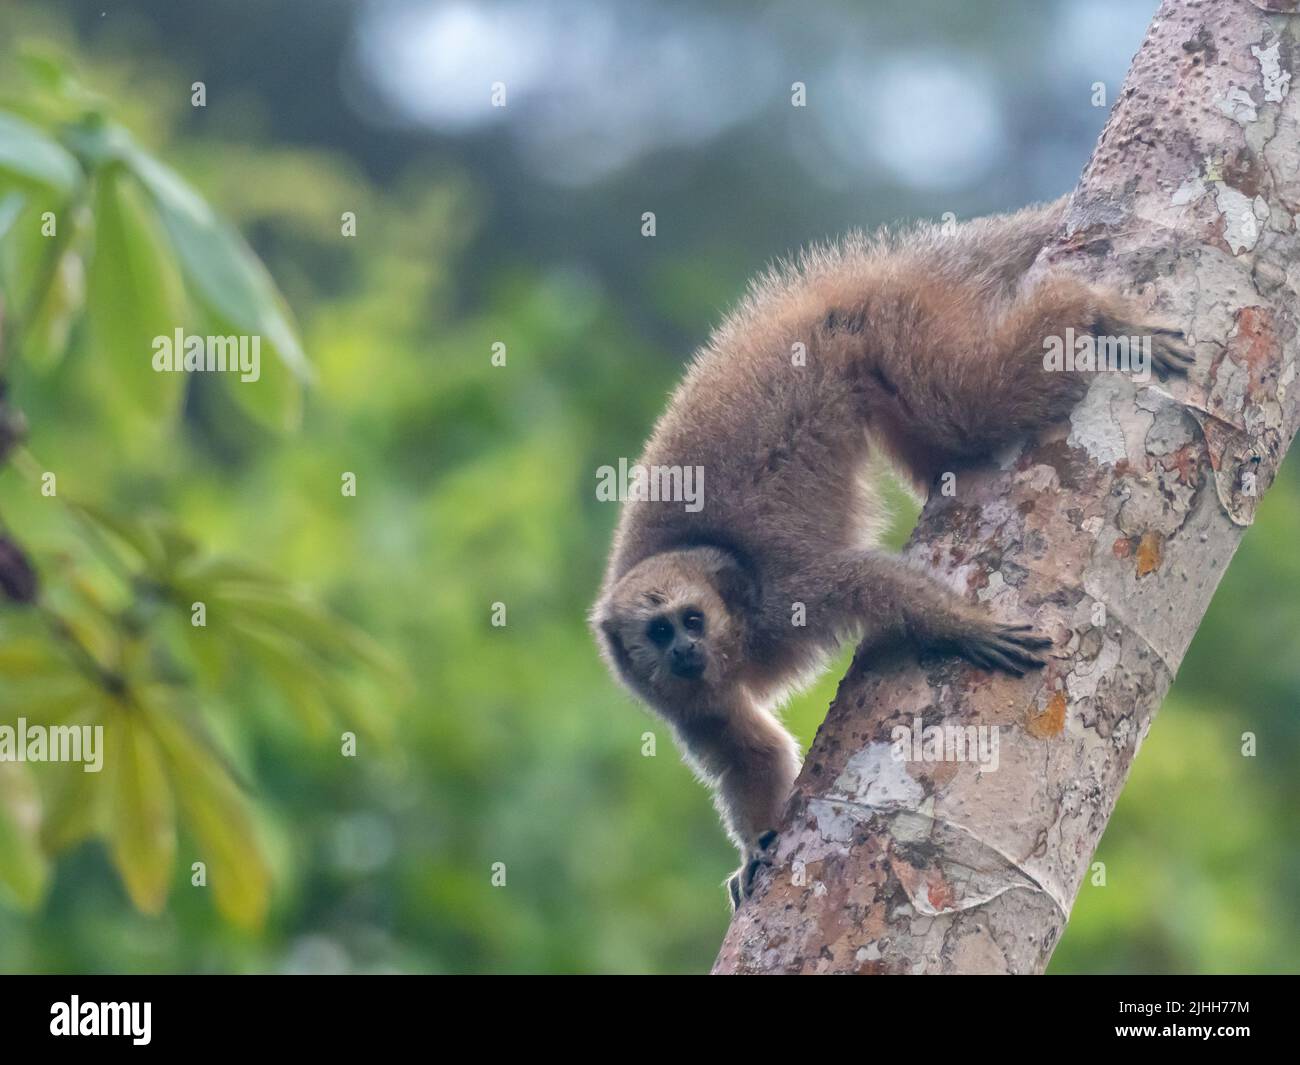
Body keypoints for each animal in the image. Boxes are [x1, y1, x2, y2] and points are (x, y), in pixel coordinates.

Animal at [590, 196, 1193, 908]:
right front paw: (753, 852)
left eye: (691, 620)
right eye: (658, 633)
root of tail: (850, 278)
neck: (735, 627)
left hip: (891, 320)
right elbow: (749, 756)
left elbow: (861, 580)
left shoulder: (783, 596)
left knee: (969, 403)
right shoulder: (682, 704)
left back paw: (1094, 312)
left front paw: (962, 627)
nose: (684, 649)